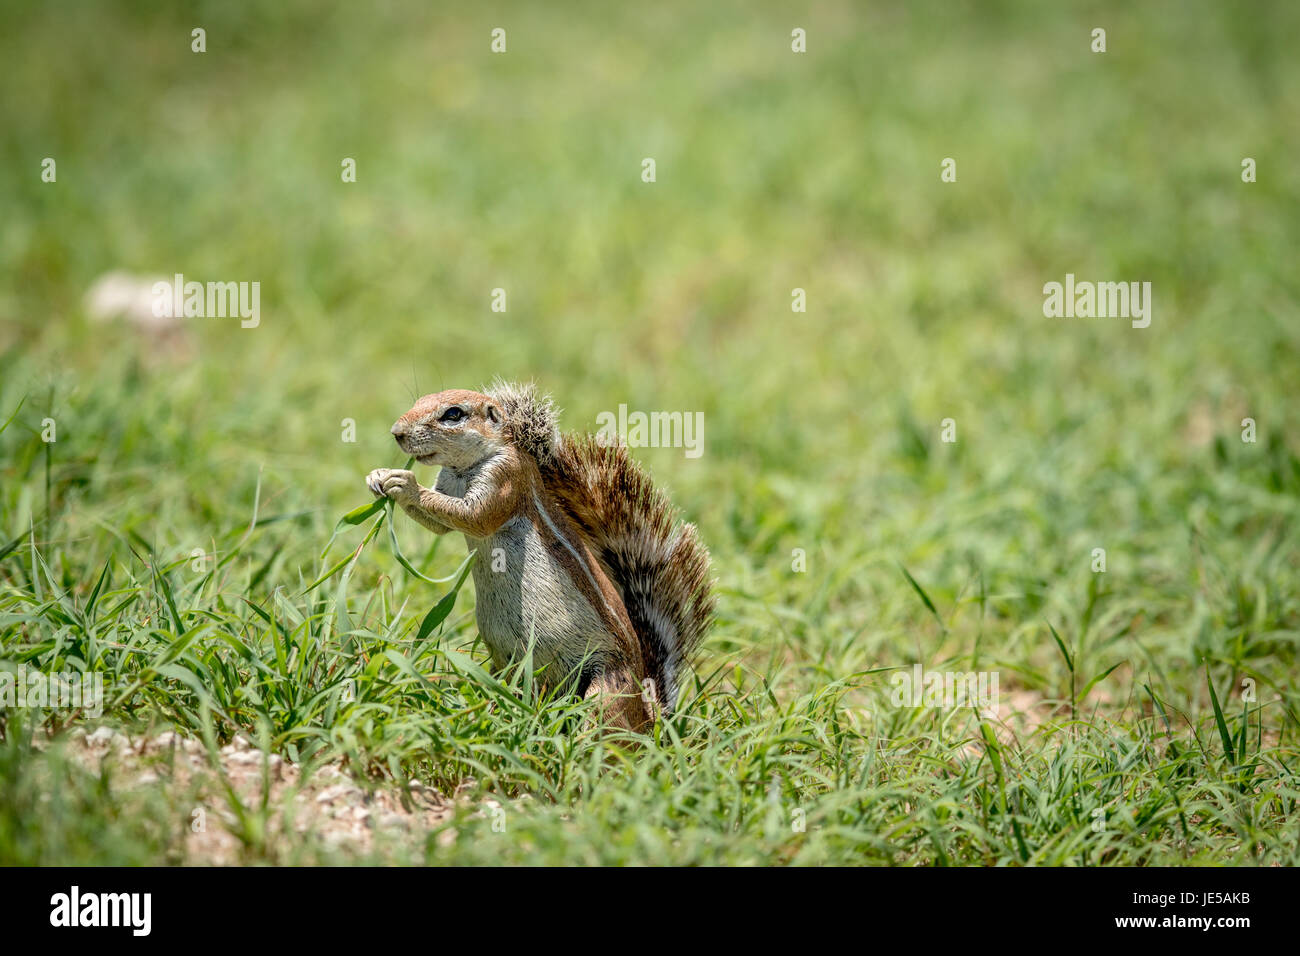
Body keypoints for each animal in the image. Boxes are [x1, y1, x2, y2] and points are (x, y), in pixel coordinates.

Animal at [365, 381, 714, 730]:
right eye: (420, 400)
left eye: (453, 414)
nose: (397, 432)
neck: (463, 469)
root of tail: (648, 711)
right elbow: (439, 525)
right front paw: (377, 476)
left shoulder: (504, 478)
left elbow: (474, 516)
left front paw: (405, 483)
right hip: (507, 668)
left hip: (607, 689)